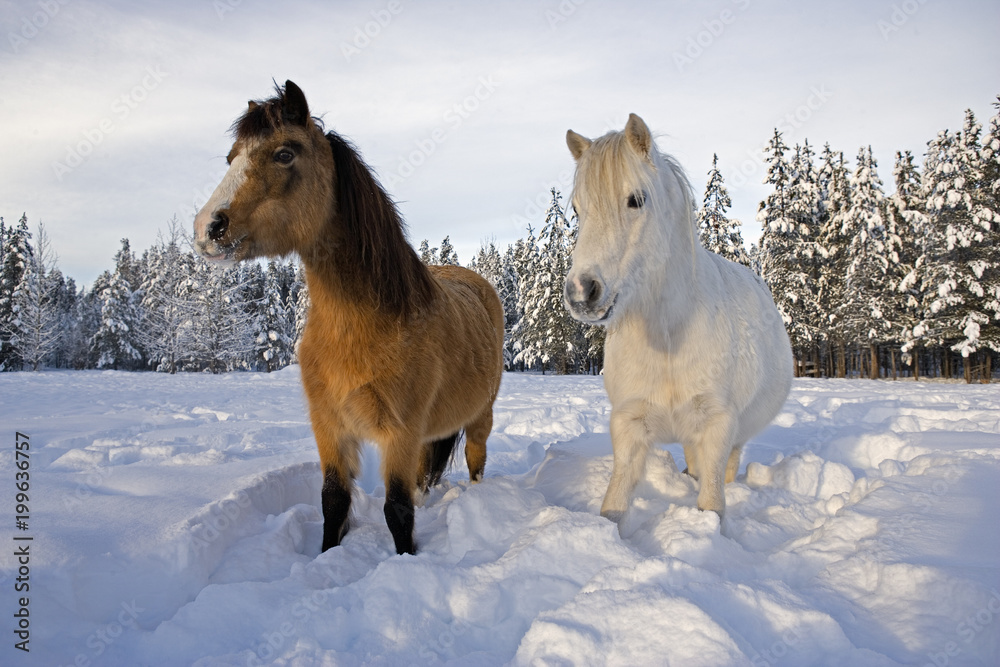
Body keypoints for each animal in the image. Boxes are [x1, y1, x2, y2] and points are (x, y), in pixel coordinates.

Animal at [192, 81, 504, 555]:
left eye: (285, 153)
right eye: (232, 158)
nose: (208, 228)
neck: (365, 327)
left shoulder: (400, 433)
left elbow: (397, 510)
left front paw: (405, 560)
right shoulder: (330, 428)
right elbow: (334, 501)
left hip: (479, 417)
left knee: (475, 463)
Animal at [563, 114, 792, 525]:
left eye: (637, 200)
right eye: (576, 209)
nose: (580, 291)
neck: (669, 339)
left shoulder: (717, 426)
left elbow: (712, 499)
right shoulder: (628, 425)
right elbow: (614, 504)